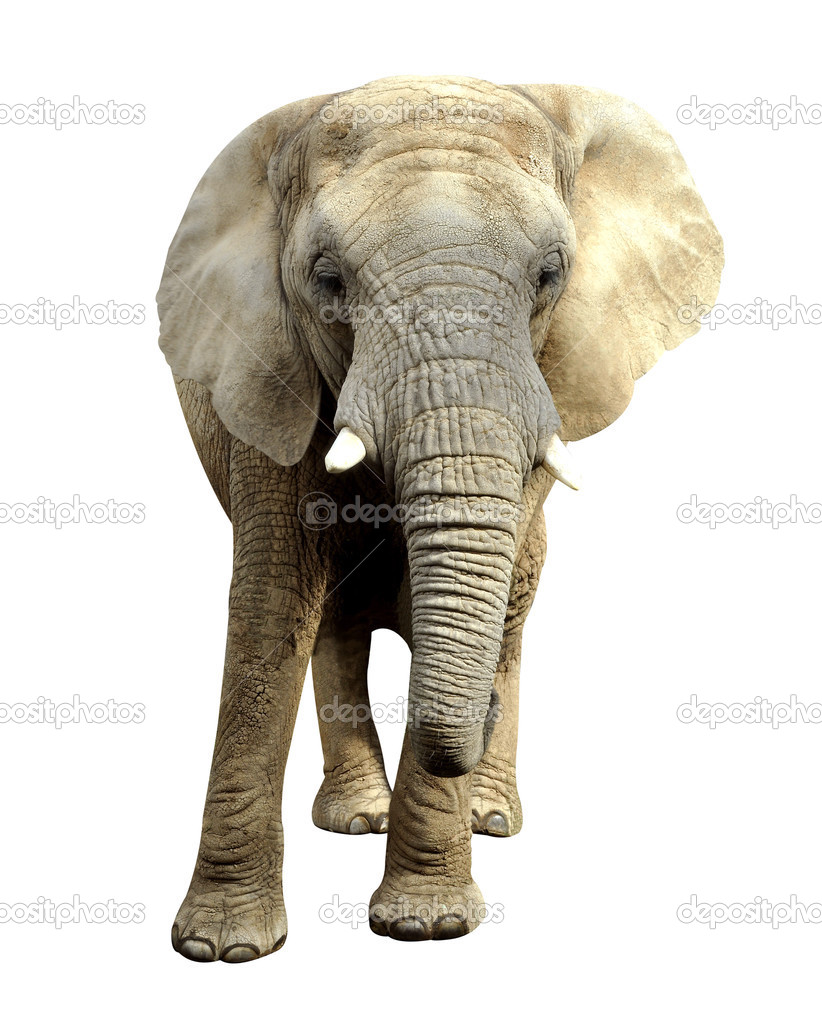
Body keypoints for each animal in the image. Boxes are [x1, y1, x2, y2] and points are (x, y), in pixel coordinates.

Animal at [157, 74, 722, 961]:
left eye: (550, 275)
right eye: (326, 280)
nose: (474, 721)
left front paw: (426, 927)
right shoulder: (263, 369)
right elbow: (273, 597)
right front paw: (223, 948)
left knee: (513, 609)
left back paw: (487, 818)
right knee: (338, 621)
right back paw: (357, 818)